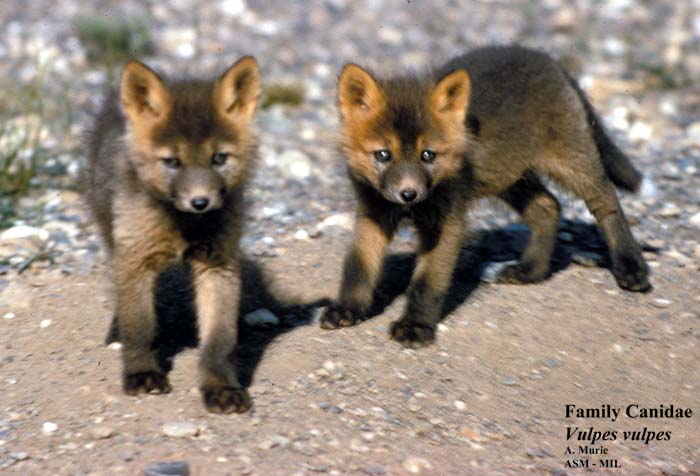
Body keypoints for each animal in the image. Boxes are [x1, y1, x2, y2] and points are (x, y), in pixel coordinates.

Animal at [85, 56, 261, 413]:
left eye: (218, 158)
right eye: (172, 162)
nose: (200, 202)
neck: (185, 227)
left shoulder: (218, 264)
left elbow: (218, 339)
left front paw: (221, 388)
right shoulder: (135, 258)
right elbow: (139, 326)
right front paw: (141, 374)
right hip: (113, 239)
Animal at [320, 45, 651, 348]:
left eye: (427, 155)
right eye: (383, 155)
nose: (409, 194)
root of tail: (545, 56)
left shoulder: (445, 221)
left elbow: (428, 280)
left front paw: (415, 325)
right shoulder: (373, 212)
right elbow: (359, 267)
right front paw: (348, 308)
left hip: (571, 162)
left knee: (607, 203)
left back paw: (632, 268)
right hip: (511, 176)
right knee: (548, 206)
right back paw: (531, 271)